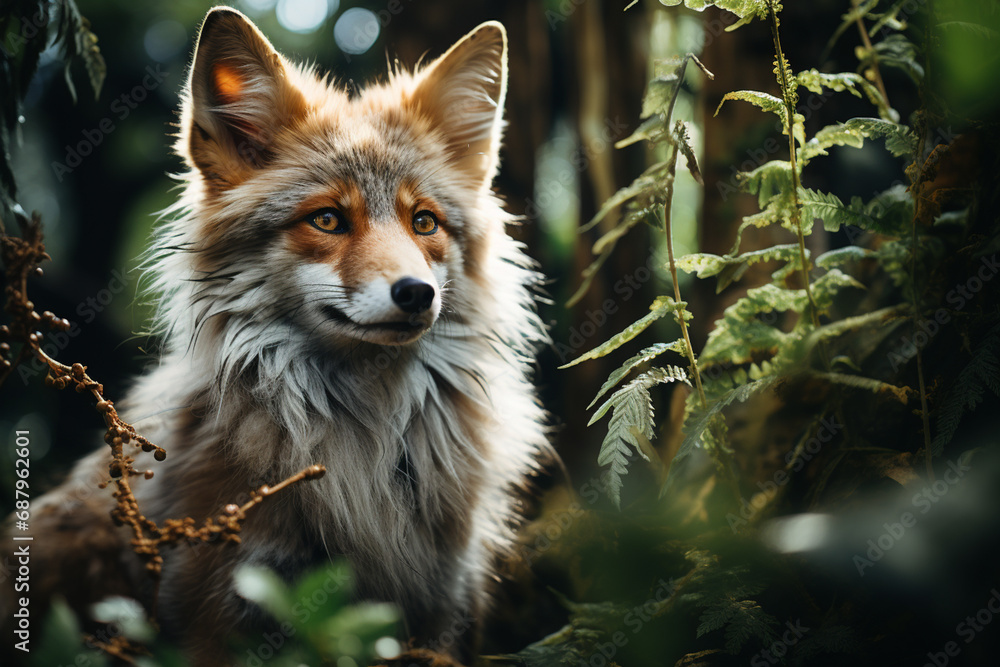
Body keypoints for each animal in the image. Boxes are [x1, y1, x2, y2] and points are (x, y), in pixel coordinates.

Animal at [2, 7, 549, 665]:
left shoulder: (441, 612)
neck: (364, 455)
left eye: (424, 223)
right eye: (328, 219)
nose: (417, 293)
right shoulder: (220, 607)